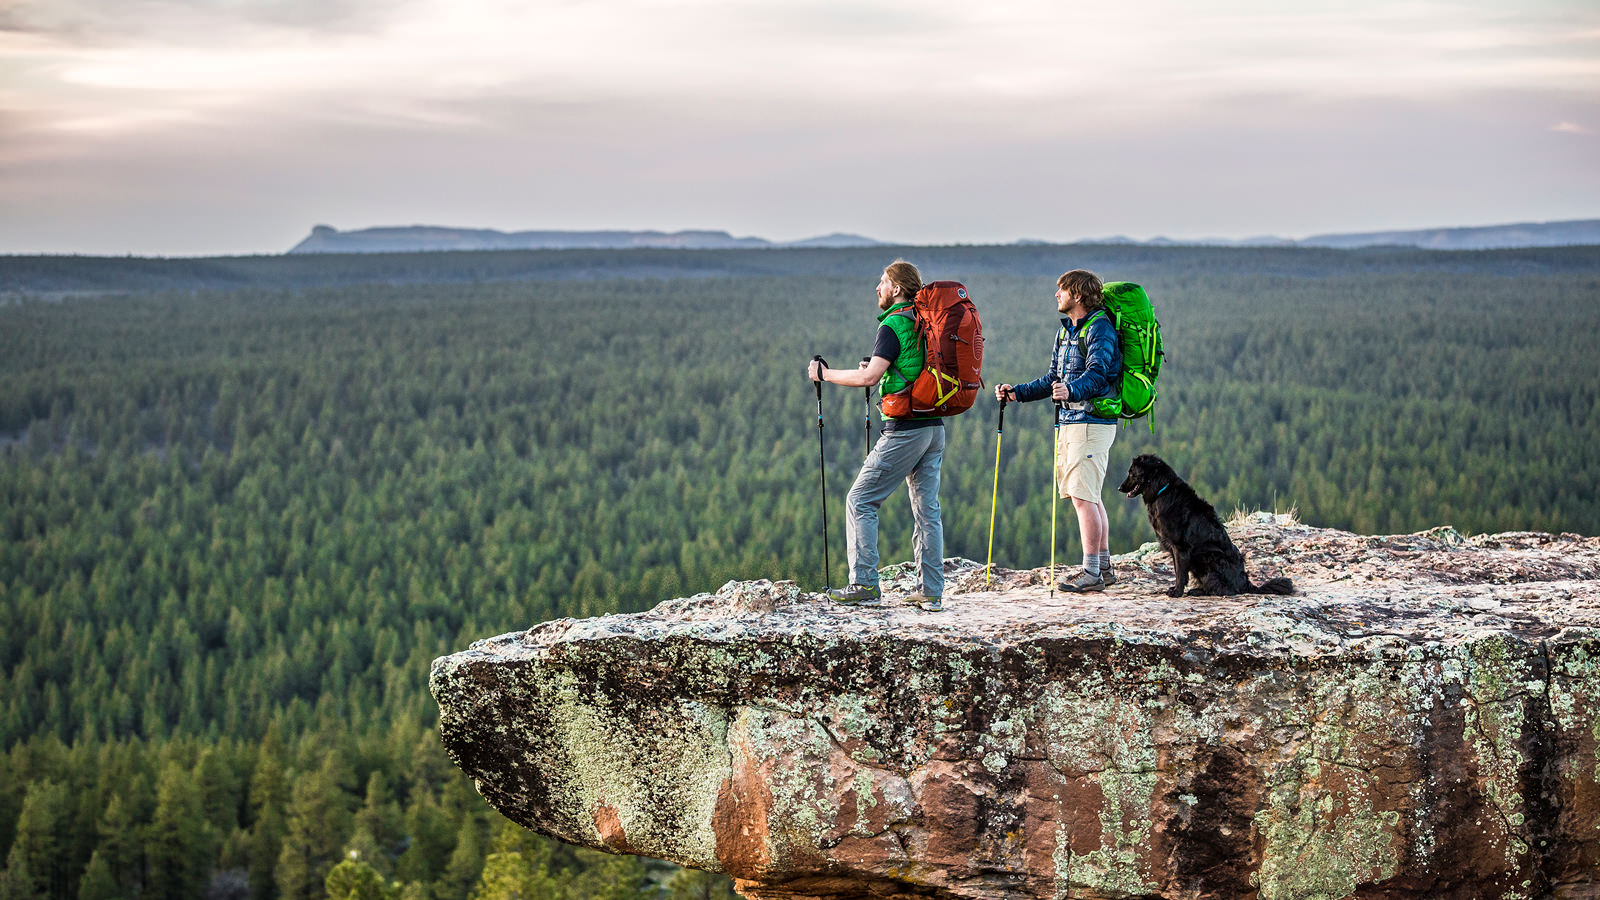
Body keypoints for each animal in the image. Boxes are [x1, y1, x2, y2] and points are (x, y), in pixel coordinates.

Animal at [1120, 454, 1292, 595]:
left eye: (1131, 473)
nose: (1119, 488)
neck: (1162, 490)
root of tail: (1245, 584)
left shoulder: (1180, 547)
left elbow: (1180, 573)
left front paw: (1177, 592)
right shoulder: (1175, 550)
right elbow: (1177, 571)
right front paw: (1175, 589)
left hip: (1209, 557)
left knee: (1225, 590)